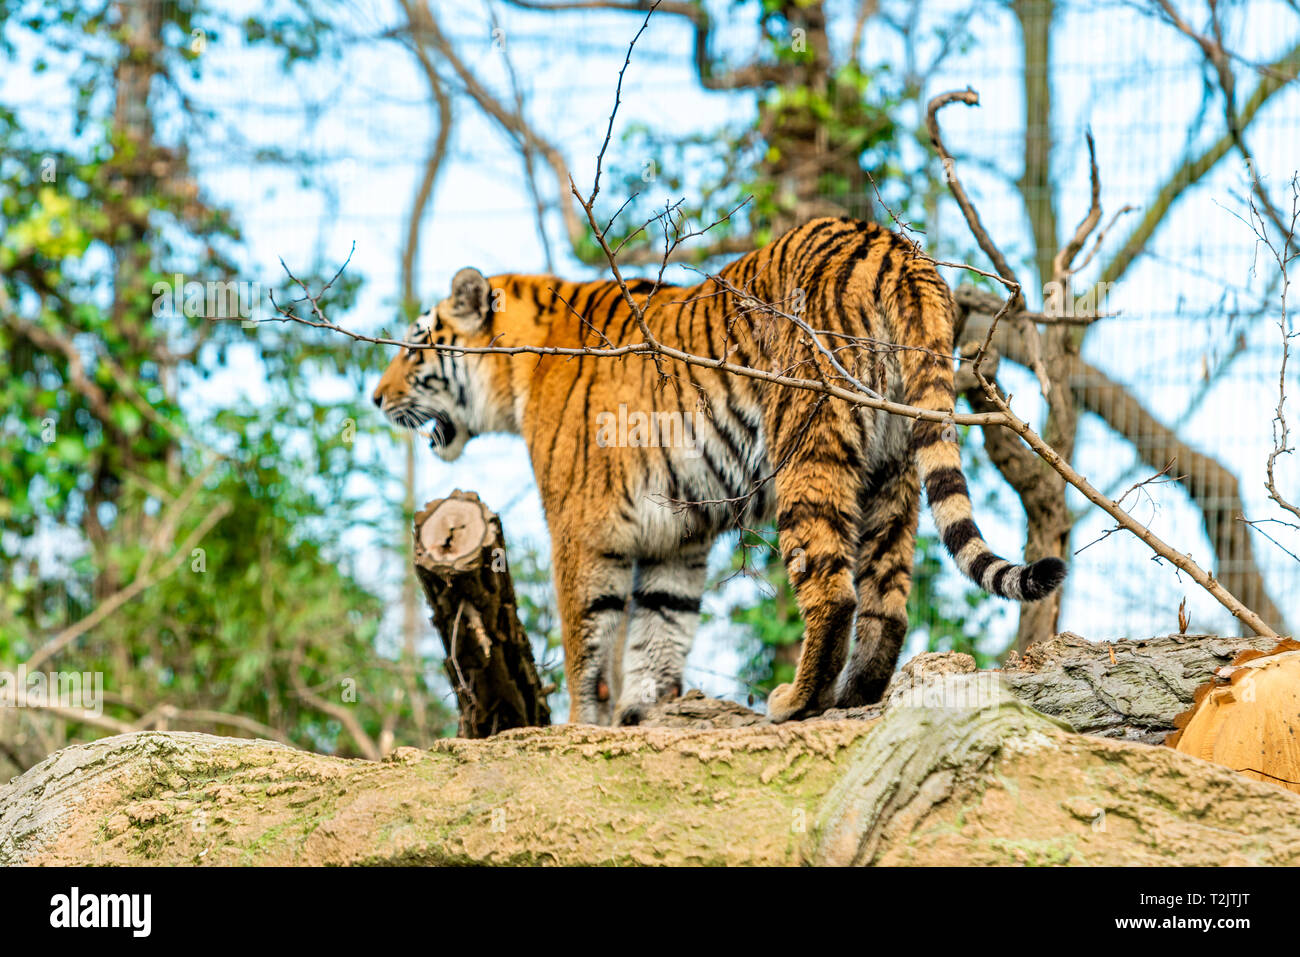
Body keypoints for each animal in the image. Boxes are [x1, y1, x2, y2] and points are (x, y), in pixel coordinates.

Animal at [373, 217, 1066, 726]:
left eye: (414, 347)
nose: (376, 398)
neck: (516, 367)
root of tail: (892, 246)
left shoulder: (581, 527)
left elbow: (586, 643)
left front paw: (582, 726)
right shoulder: (673, 539)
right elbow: (659, 634)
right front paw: (642, 717)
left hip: (807, 442)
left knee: (834, 590)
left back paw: (796, 702)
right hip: (891, 466)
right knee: (888, 601)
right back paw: (853, 700)